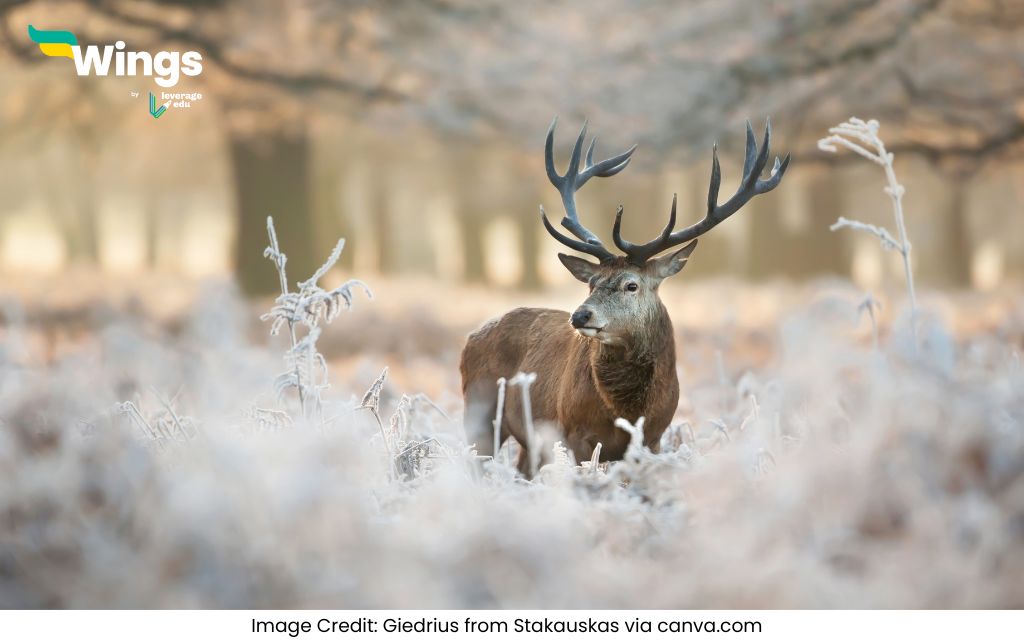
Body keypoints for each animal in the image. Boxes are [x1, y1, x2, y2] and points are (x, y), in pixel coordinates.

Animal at [460, 117, 789, 477]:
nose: (580, 315)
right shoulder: (573, 434)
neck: (627, 411)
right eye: (591, 284)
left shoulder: (653, 438)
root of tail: (471, 337)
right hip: (479, 411)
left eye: (631, 285)